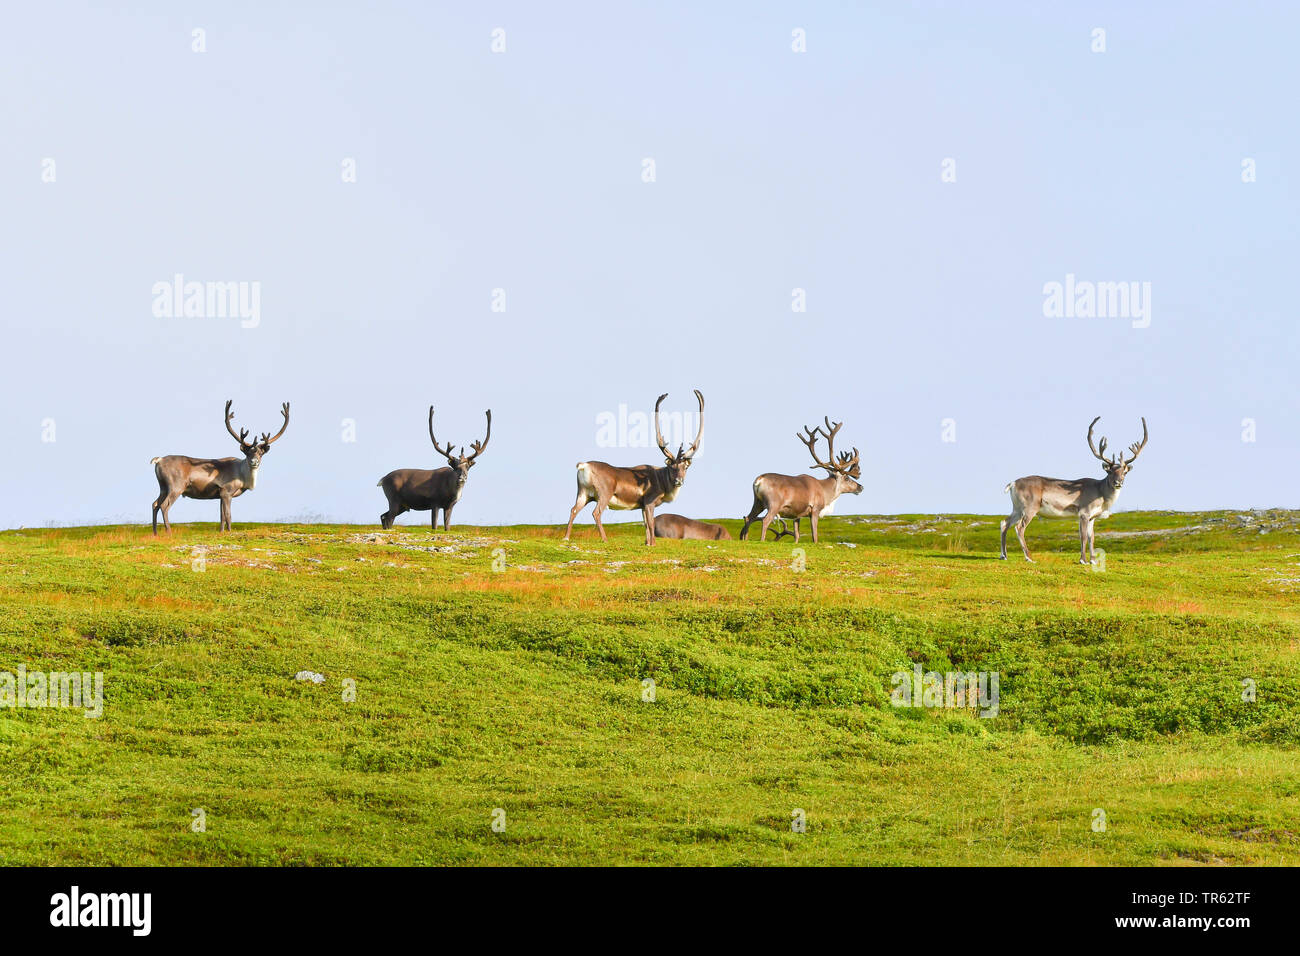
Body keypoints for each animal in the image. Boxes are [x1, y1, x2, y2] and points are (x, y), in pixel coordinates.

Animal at [150, 400, 290, 534]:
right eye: (247, 453)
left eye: (261, 453)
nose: (254, 461)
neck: (242, 476)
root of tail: (158, 460)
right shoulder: (226, 491)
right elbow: (228, 515)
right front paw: (229, 532)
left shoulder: (220, 495)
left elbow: (221, 517)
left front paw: (222, 531)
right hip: (176, 486)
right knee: (164, 505)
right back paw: (169, 532)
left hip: (163, 486)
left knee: (155, 504)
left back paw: (155, 533)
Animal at [564, 390, 704, 546]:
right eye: (672, 466)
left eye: (685, 467)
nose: (679, 481)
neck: (662, 483)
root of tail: (584, 466)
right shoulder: (649, 501)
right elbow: (651, 524)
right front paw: (653, 544)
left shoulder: (642, 505)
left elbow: (646, 525)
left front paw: (647, 543)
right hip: (604, 493)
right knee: (596, 512)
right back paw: (605, 539)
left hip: (583, 493)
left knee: (573, 510)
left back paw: (566, 537)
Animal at [1000, 416, 1148, 564]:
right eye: (1110, 471)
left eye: (1125, 472)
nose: (1118, 482)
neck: (1101, 495)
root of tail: (1012, 484)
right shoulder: (1084, 513)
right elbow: (1083, 537)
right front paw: (1083, 560)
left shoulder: (1092, 517)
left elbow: (1092, 537)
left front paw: (1093, 560)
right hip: (1030, 506)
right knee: (1019, 527)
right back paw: (1029, 557)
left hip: (1017, 508)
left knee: (1004, 523)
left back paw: (1004, 555)